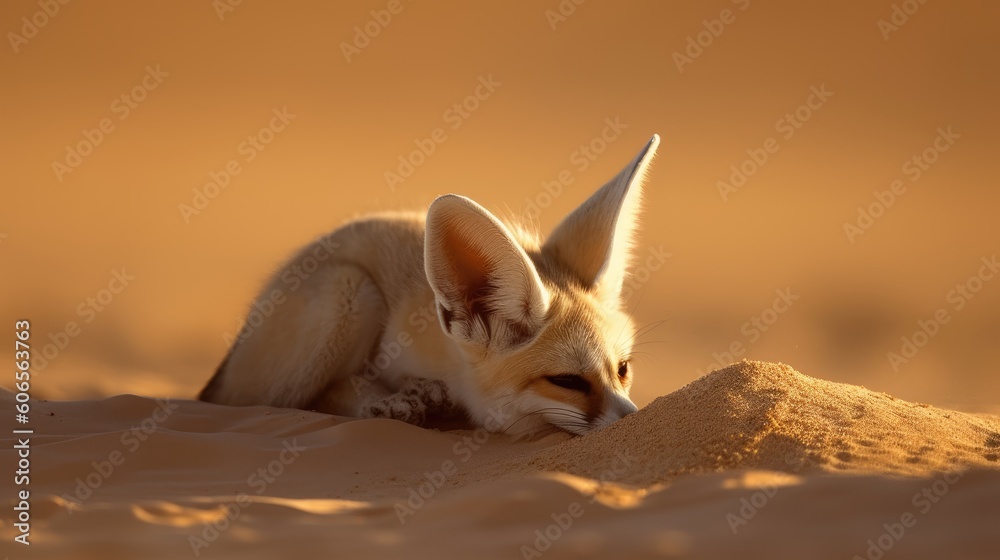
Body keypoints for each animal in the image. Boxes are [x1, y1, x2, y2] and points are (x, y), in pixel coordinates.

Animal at [199, 134, 661, 435]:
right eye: (568, 382)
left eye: (622, 369)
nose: (634, 421)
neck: (444, 357)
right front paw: (394, 398)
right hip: (349, 294)